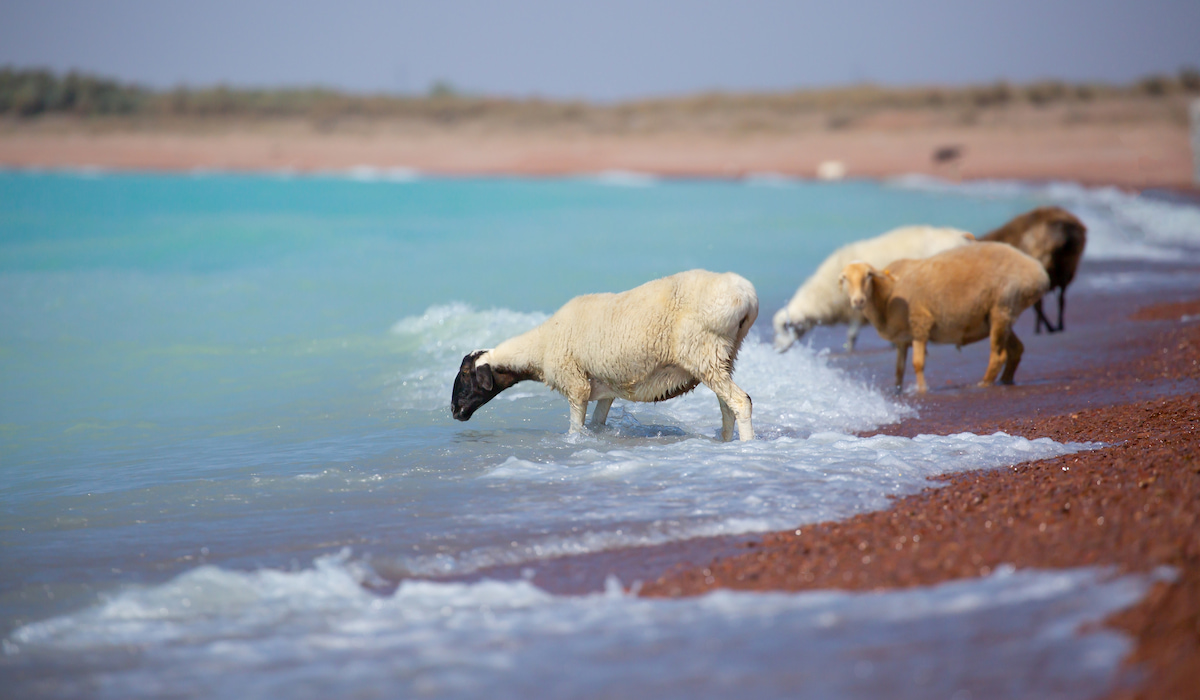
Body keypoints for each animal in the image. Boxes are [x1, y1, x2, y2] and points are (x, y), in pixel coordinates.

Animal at [451, 270, 759, 441]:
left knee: (741, 402)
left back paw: (747, 447)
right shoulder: (605, 389)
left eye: (466, 374)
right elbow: (597, 424)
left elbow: (576, 429)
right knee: (727, 408)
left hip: (703, 352)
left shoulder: (576, 384)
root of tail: (747, 297)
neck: (540, 346)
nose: (454, 411)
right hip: (722, 357)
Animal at [773, 226, 976, 352]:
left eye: (786, 327)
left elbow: (852, 334)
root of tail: (964, 237)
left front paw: (850, 350)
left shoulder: (858, 306)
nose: (776, 349)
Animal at [838, 241, 1050, 394]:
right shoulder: (902, 339)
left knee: (998, 355)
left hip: (1003, 306)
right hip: (1002, 314)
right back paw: (1005, 381)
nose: (858, 301)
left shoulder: (920, 323)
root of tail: (1038, 271)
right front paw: (897, 392)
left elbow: (918, 363)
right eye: (845, 279)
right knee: (1016, 350)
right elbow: (898, 370)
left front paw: (922, 390)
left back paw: (984, 383)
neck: (887, 295)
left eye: (868, 275)